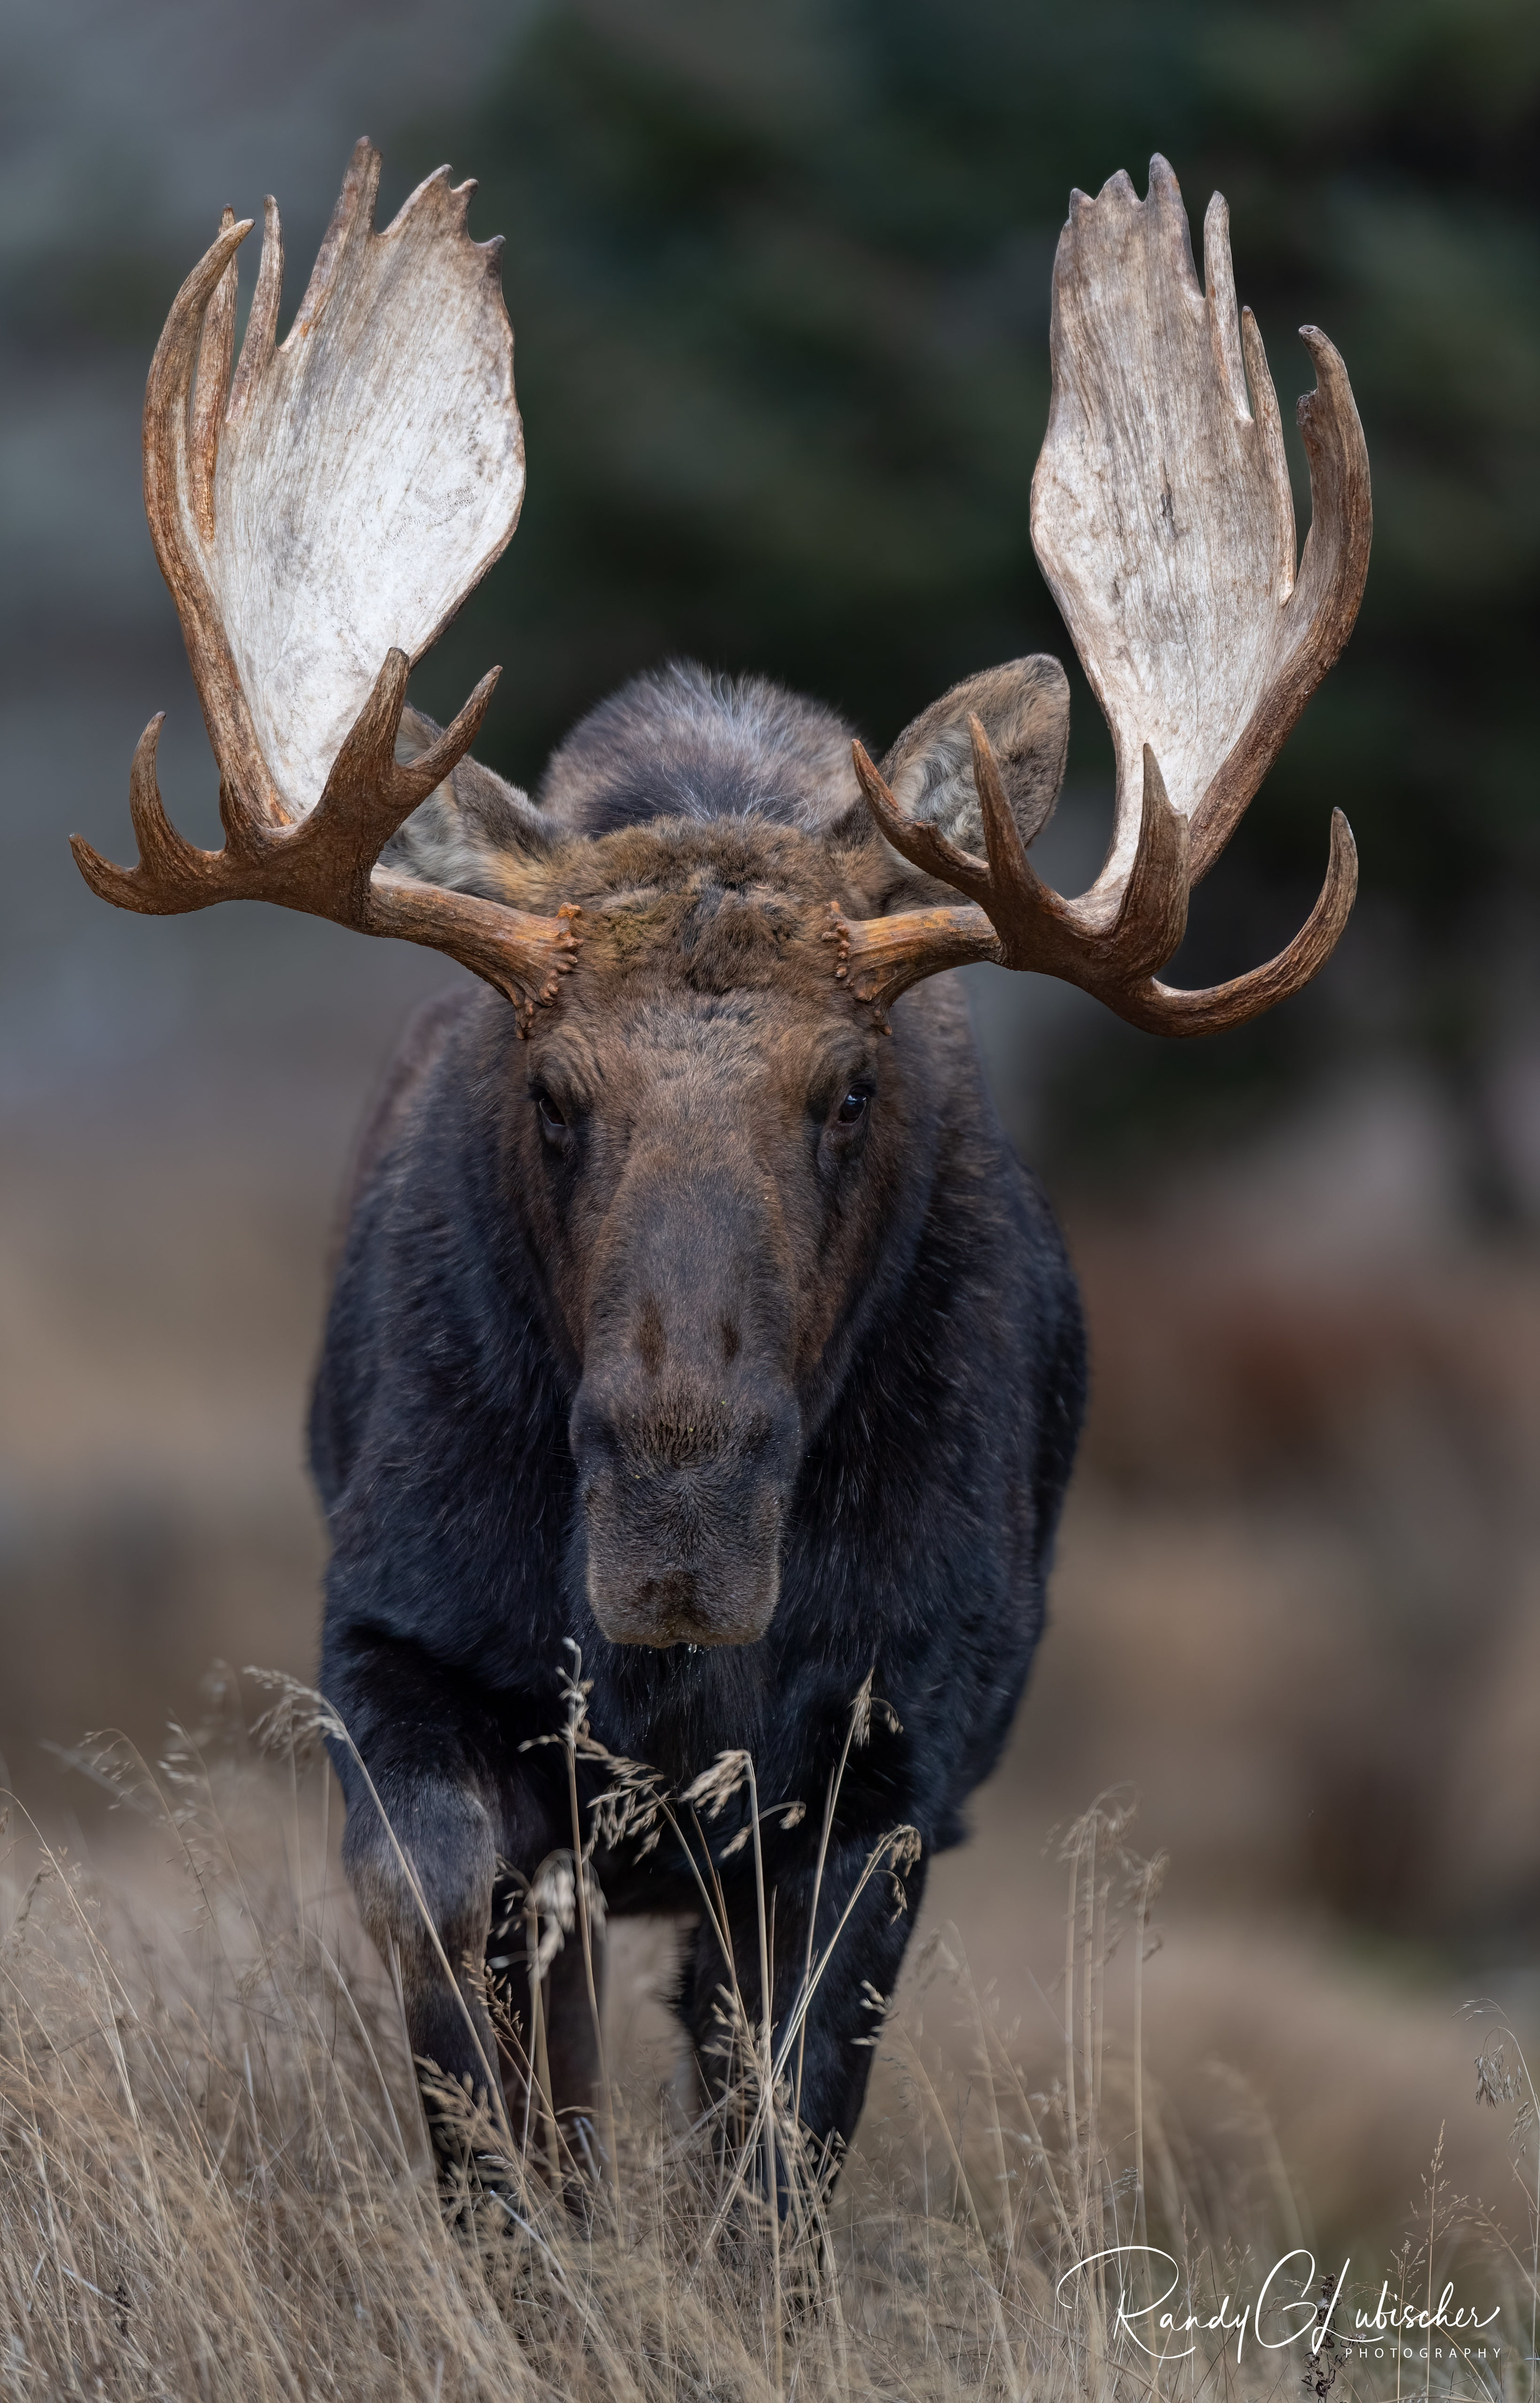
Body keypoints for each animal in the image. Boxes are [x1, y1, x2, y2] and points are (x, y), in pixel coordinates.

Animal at [73, 140, 1370, 2199]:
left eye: (846, 1089)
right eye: (550, 1091)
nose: (679, 1516)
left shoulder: (895, 1760)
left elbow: (778, 2141)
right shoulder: (394, 1645)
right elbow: (469, 1965)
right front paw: (529, 2203)